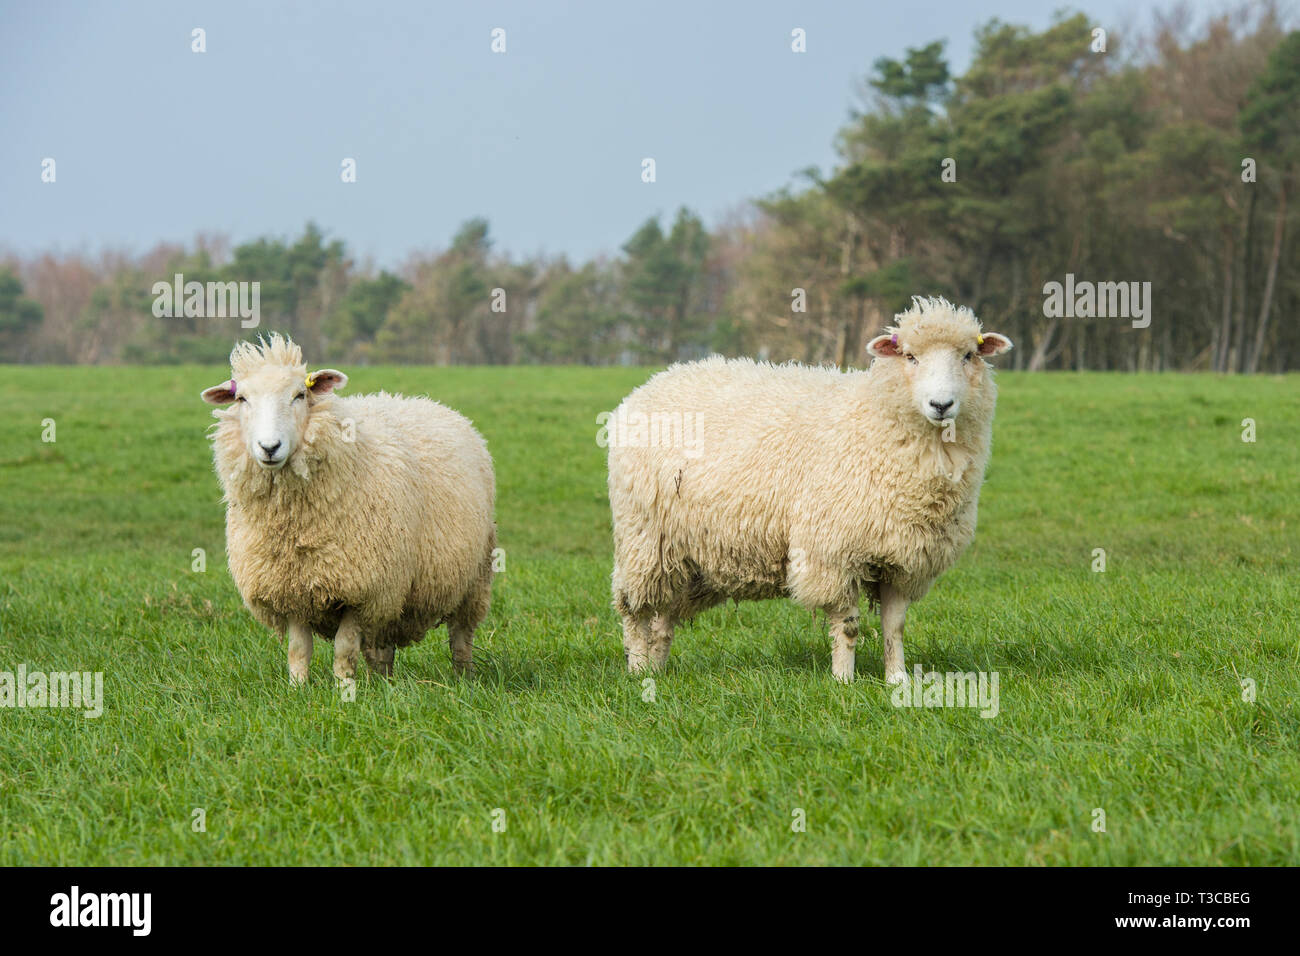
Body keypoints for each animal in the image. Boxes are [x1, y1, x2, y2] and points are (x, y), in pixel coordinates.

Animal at [200, 334, 496, 684]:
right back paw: (384, 682)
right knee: (382, 646)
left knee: (461, 636)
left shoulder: (363, 591)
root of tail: (426, 402)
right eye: (241, 399)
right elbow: (298, 650)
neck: (295, 526)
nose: (269, 448)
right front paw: (297, 688)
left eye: (300, 395)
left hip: (473, 577)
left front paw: (344, 688)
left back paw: (463, 678)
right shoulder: (291, 589)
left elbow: (343, 650)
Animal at [606, 296, 1012, 684]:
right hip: (643, 539)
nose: (941, 405)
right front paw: (843, 681)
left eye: (968, 355)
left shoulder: (903, 558)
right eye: (910, 356)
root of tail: (651, 384)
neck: (874, 420)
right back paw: (638, 670)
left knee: (663, 617)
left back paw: (658, 670)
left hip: (687, 555)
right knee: (633, 611)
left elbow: (894, 627)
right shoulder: (834, 552)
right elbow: (847, 627)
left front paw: (897, 680)